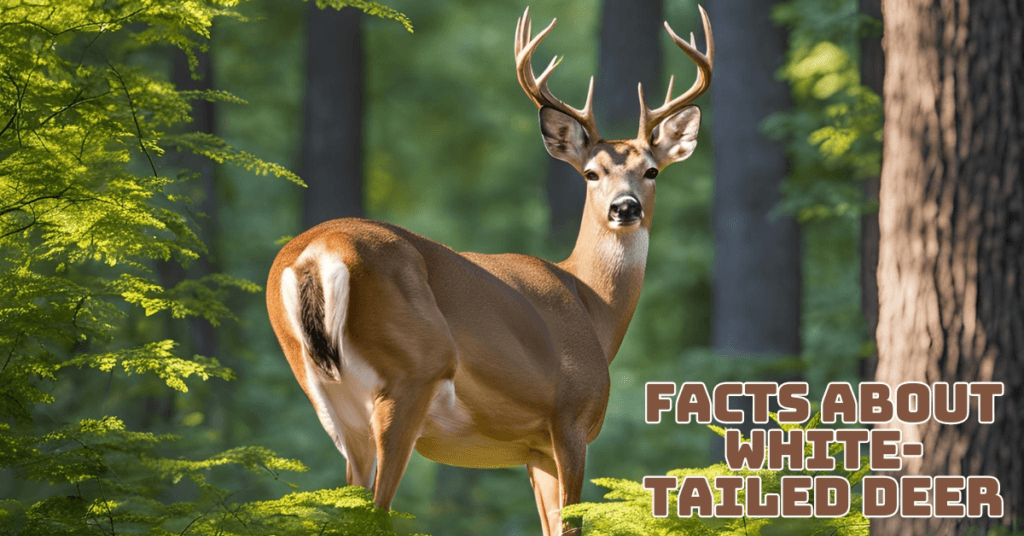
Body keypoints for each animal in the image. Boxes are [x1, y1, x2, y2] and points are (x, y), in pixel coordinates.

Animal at [266, 6, 712, 535]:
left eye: (652, 171)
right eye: (591, 173)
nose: (625, 208)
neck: (592, 306)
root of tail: (316, 252)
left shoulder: (533, 447)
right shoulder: (571, 417)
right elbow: (571, 524)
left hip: (328, 397)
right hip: (409, 375)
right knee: (378, 505)